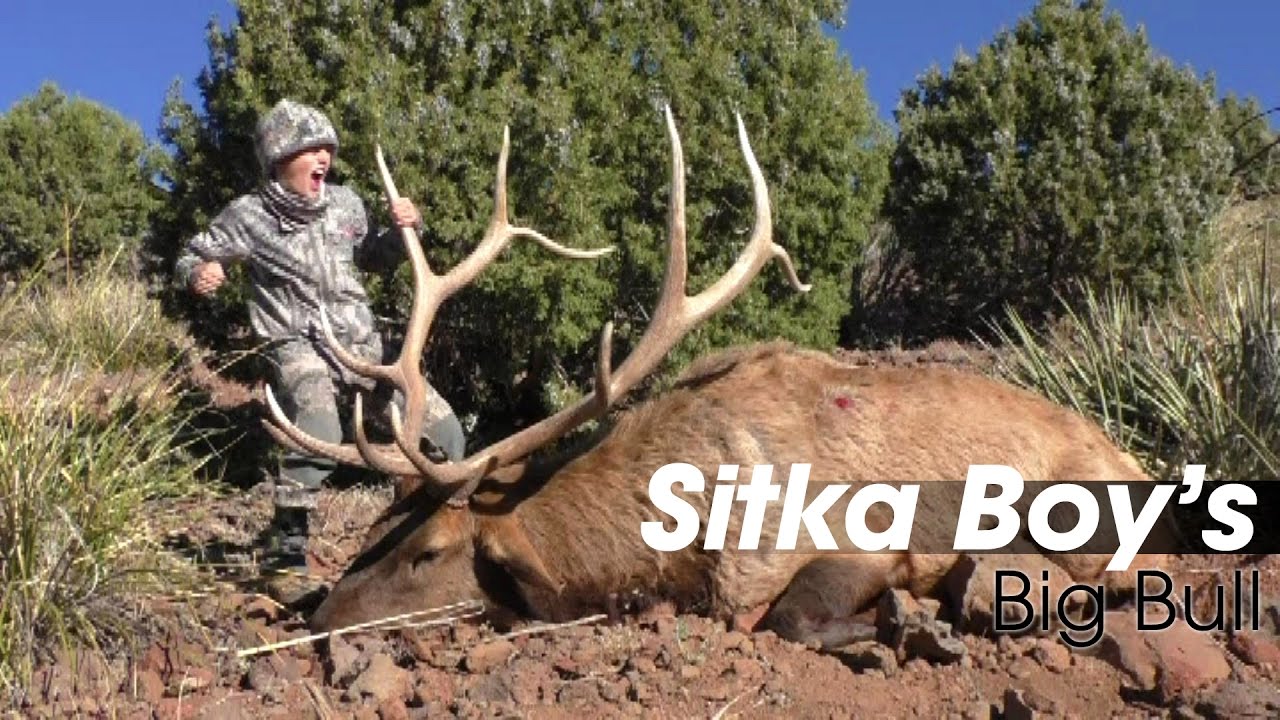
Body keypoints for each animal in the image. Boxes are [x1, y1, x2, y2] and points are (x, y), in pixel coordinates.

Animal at [261, 107, 1174, 647]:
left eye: (429, 553)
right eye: (376, 532)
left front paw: (891, 624)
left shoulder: (846, 541)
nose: (322, 618)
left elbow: (793, 620)